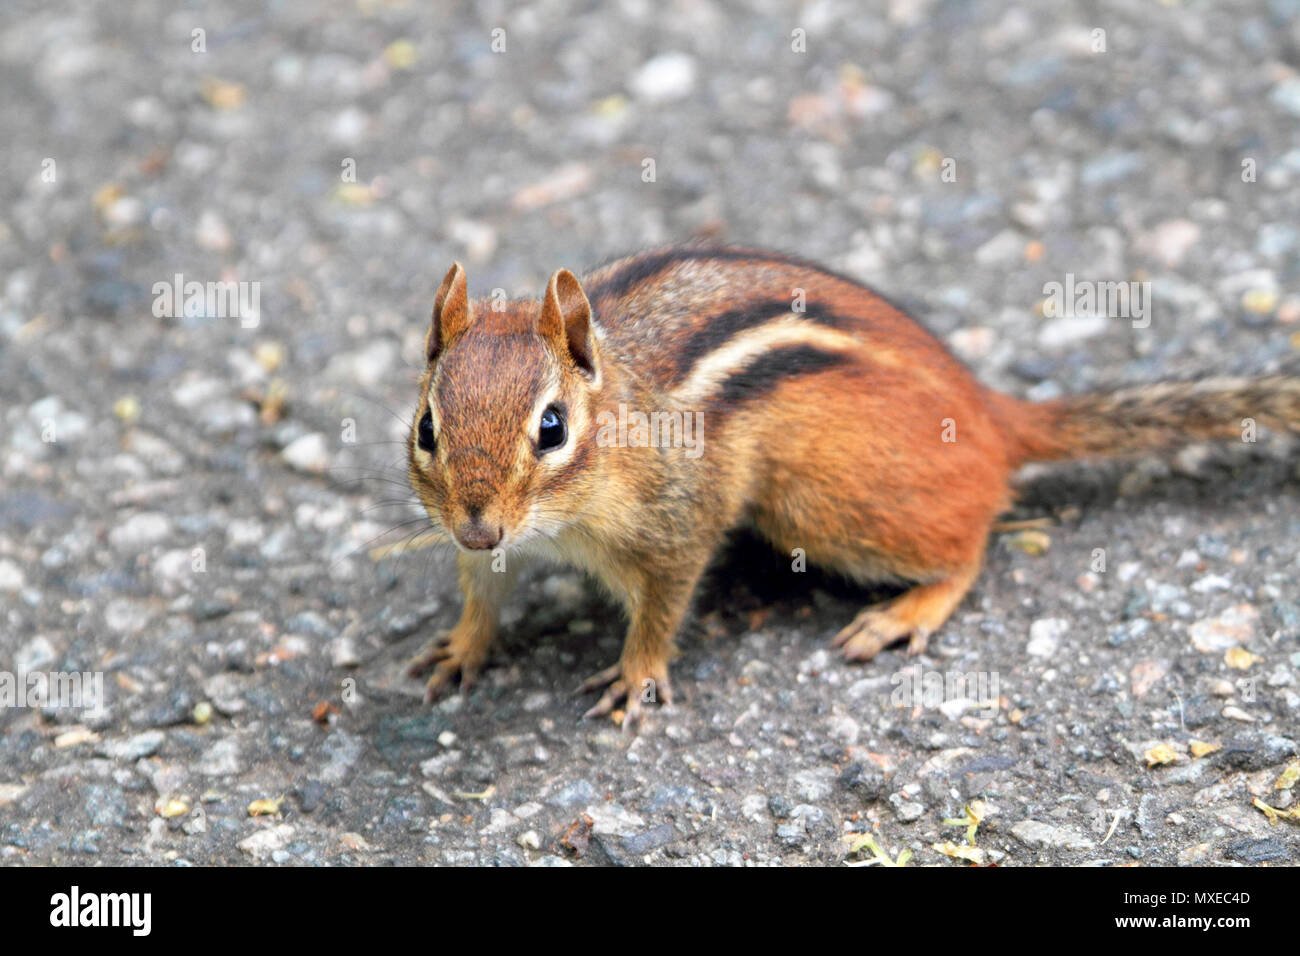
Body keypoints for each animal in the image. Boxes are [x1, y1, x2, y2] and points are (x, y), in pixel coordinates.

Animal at [404, 244, 1300, 730]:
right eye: (426, 428)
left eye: (552, 428)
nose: (478, 525)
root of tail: (990, 413)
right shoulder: (486, 543)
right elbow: (482, 592)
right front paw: (461, 646)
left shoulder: (679, 521)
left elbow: (664, 606)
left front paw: (636, 674)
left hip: (823, 507)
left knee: (970, 545)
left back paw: (907, 612)